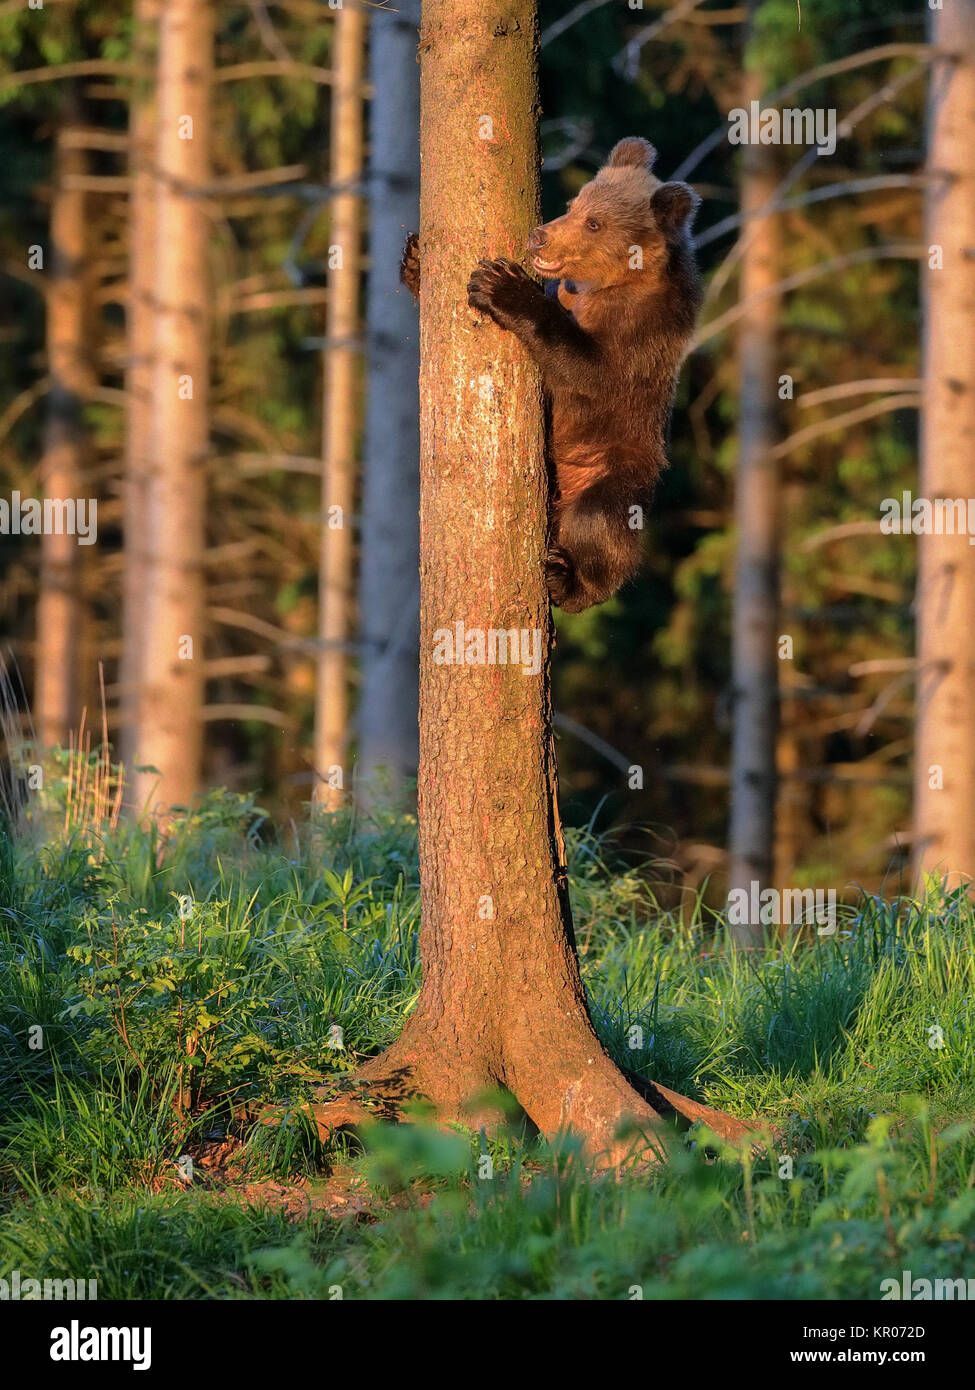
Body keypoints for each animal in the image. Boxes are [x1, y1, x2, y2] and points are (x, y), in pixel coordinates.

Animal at [401, 136, 702, 613]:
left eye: (595, 223)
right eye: (574, 203)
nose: (539, 236)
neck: (608, 285)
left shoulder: (640, 334)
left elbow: (590, 371)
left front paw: (499, 284)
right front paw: (415, 259)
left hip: (617, 467)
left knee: (601, 524)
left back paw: (568, 580)